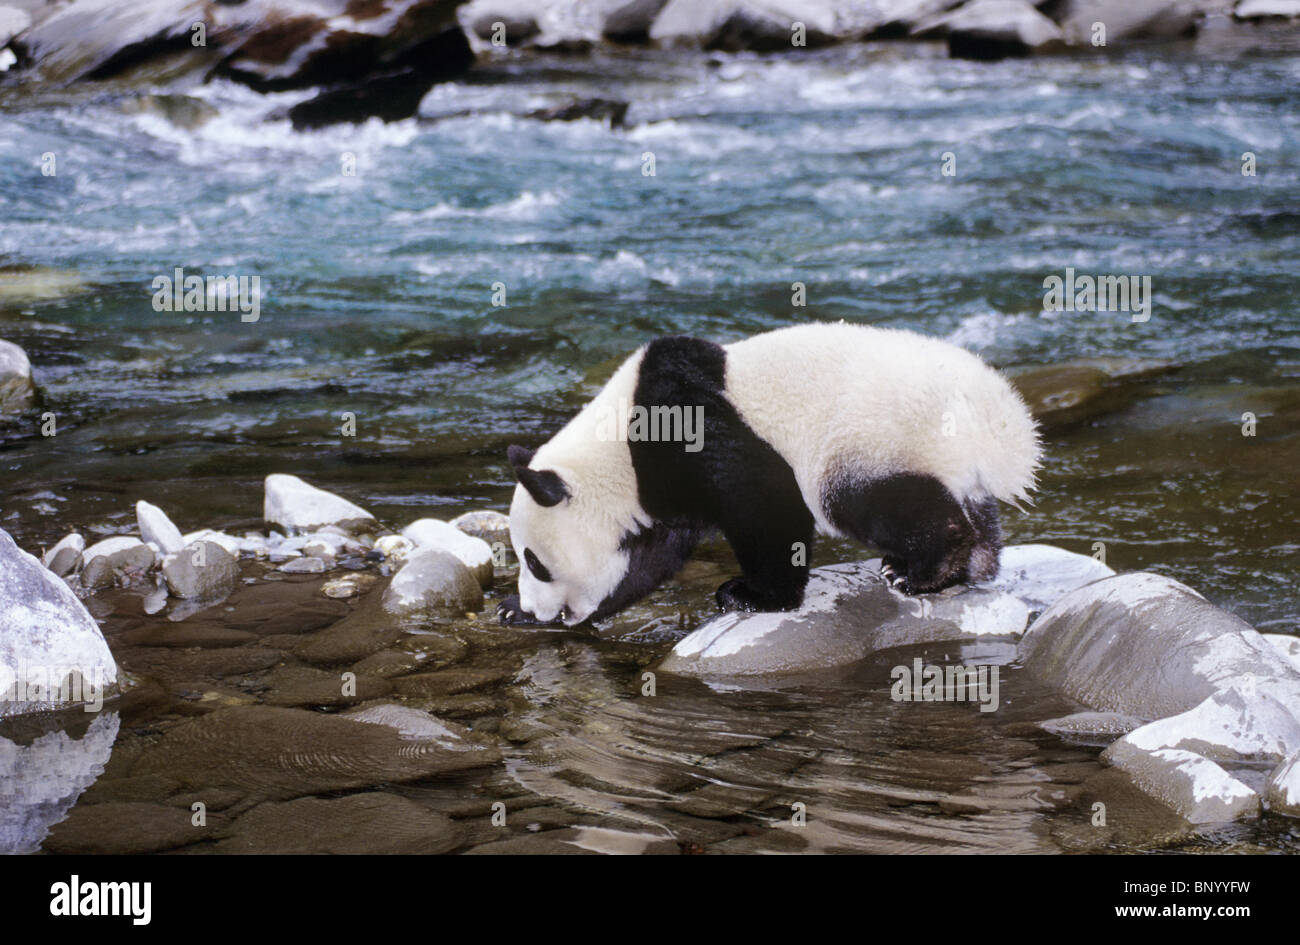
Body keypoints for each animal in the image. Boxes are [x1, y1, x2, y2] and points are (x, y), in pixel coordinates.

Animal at [498, 322, 1040, 627]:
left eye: (536, 562)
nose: (540, 607)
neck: (615, 451)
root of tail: (995, 422)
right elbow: (647, 561)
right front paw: (515, 612)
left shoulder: (688, 430)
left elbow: (764, 507)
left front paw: (750, 595)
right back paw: (971, 565)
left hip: (876, 436)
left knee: (871, 502)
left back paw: (923, 571)